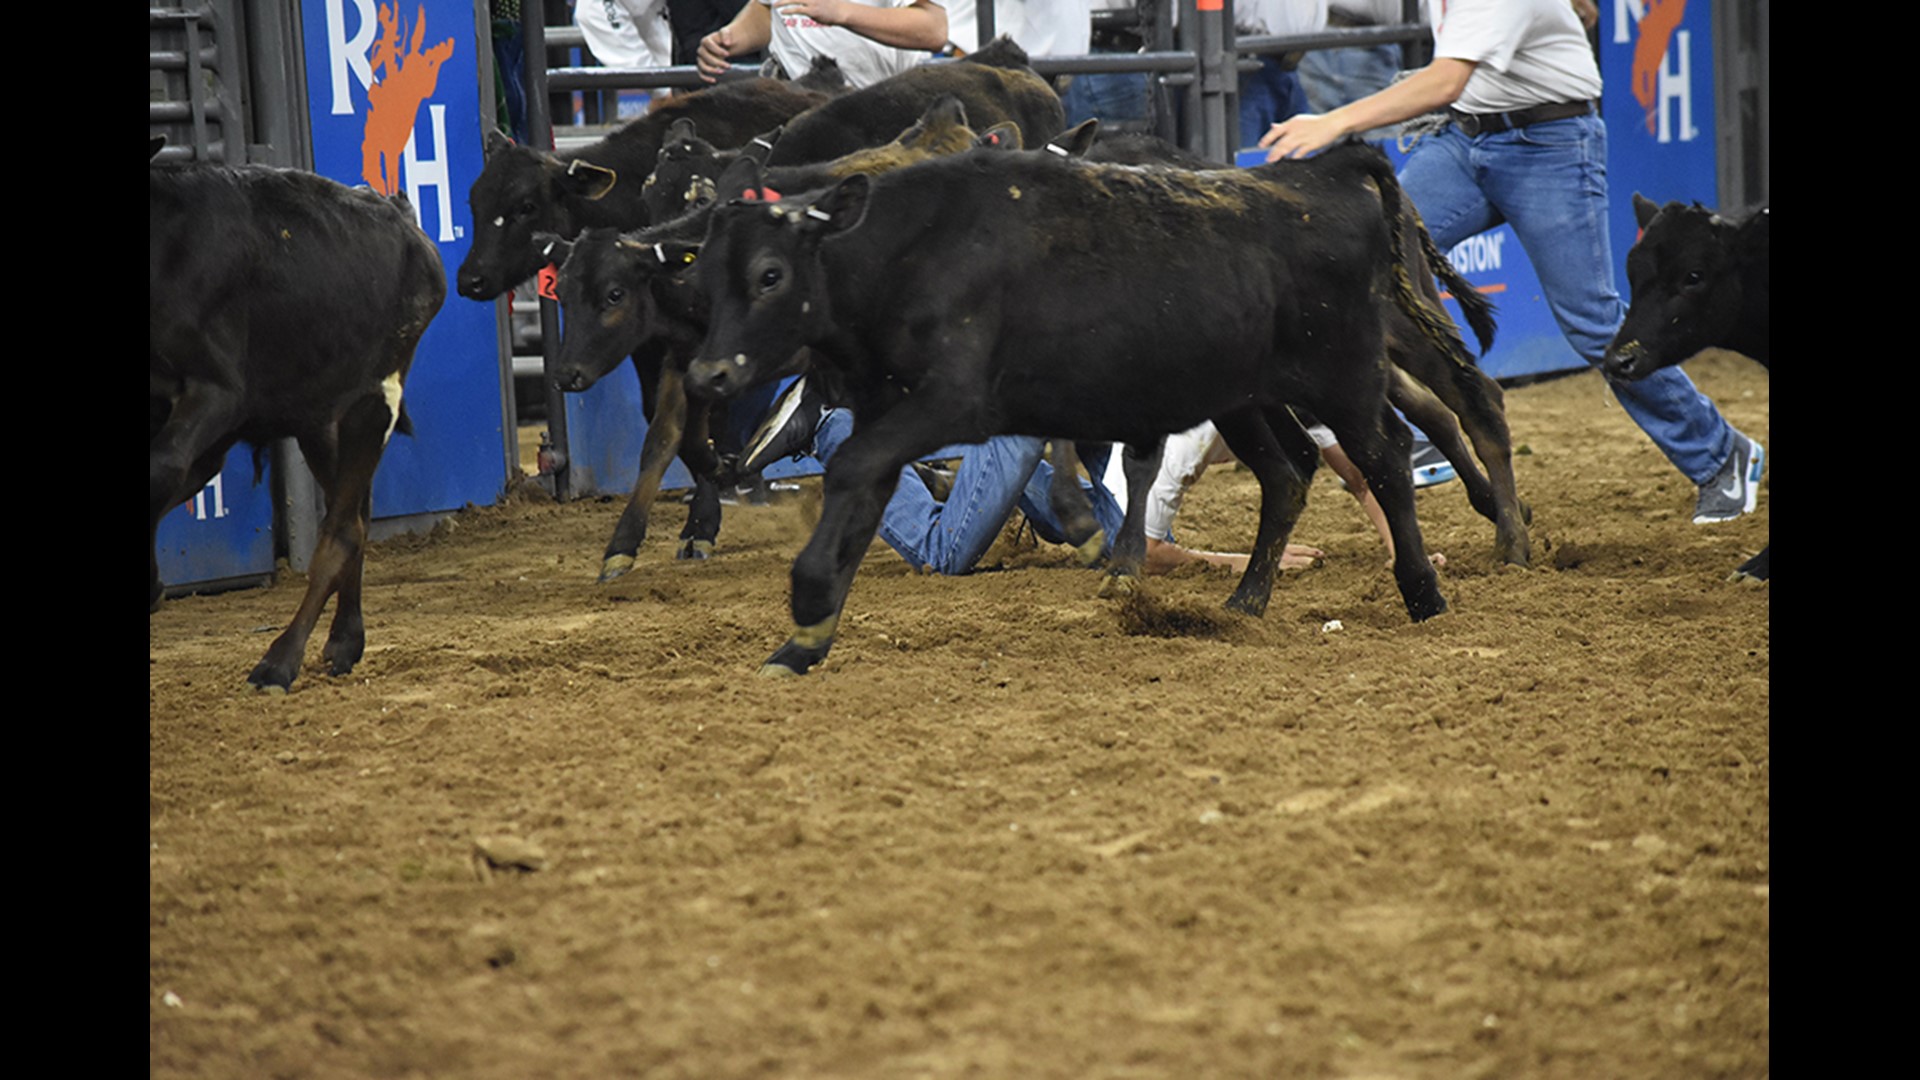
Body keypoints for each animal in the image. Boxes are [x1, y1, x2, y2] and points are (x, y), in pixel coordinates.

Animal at [150, 141, 445, 690]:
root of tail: (399, 212)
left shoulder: (216, 390)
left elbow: (160, 468)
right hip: (316, 423)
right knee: (356, 517)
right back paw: (345, 640)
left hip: (372, 403)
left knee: (343, 531)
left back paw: (280, 661)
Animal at [686, 142, 1463, 676]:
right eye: (703, 280)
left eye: (770, 275)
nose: (708, 373)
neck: (909, 255)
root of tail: (1325, 172)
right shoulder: (889, 414)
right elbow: (859, 493)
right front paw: (803, 639)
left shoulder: (950, 403)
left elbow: (849, 470)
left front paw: (808, 605)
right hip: (1250, 396)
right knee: (1290, 472)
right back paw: (1246, 601)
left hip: (1345, 377)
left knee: (1387, 459)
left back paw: (1423, 593)